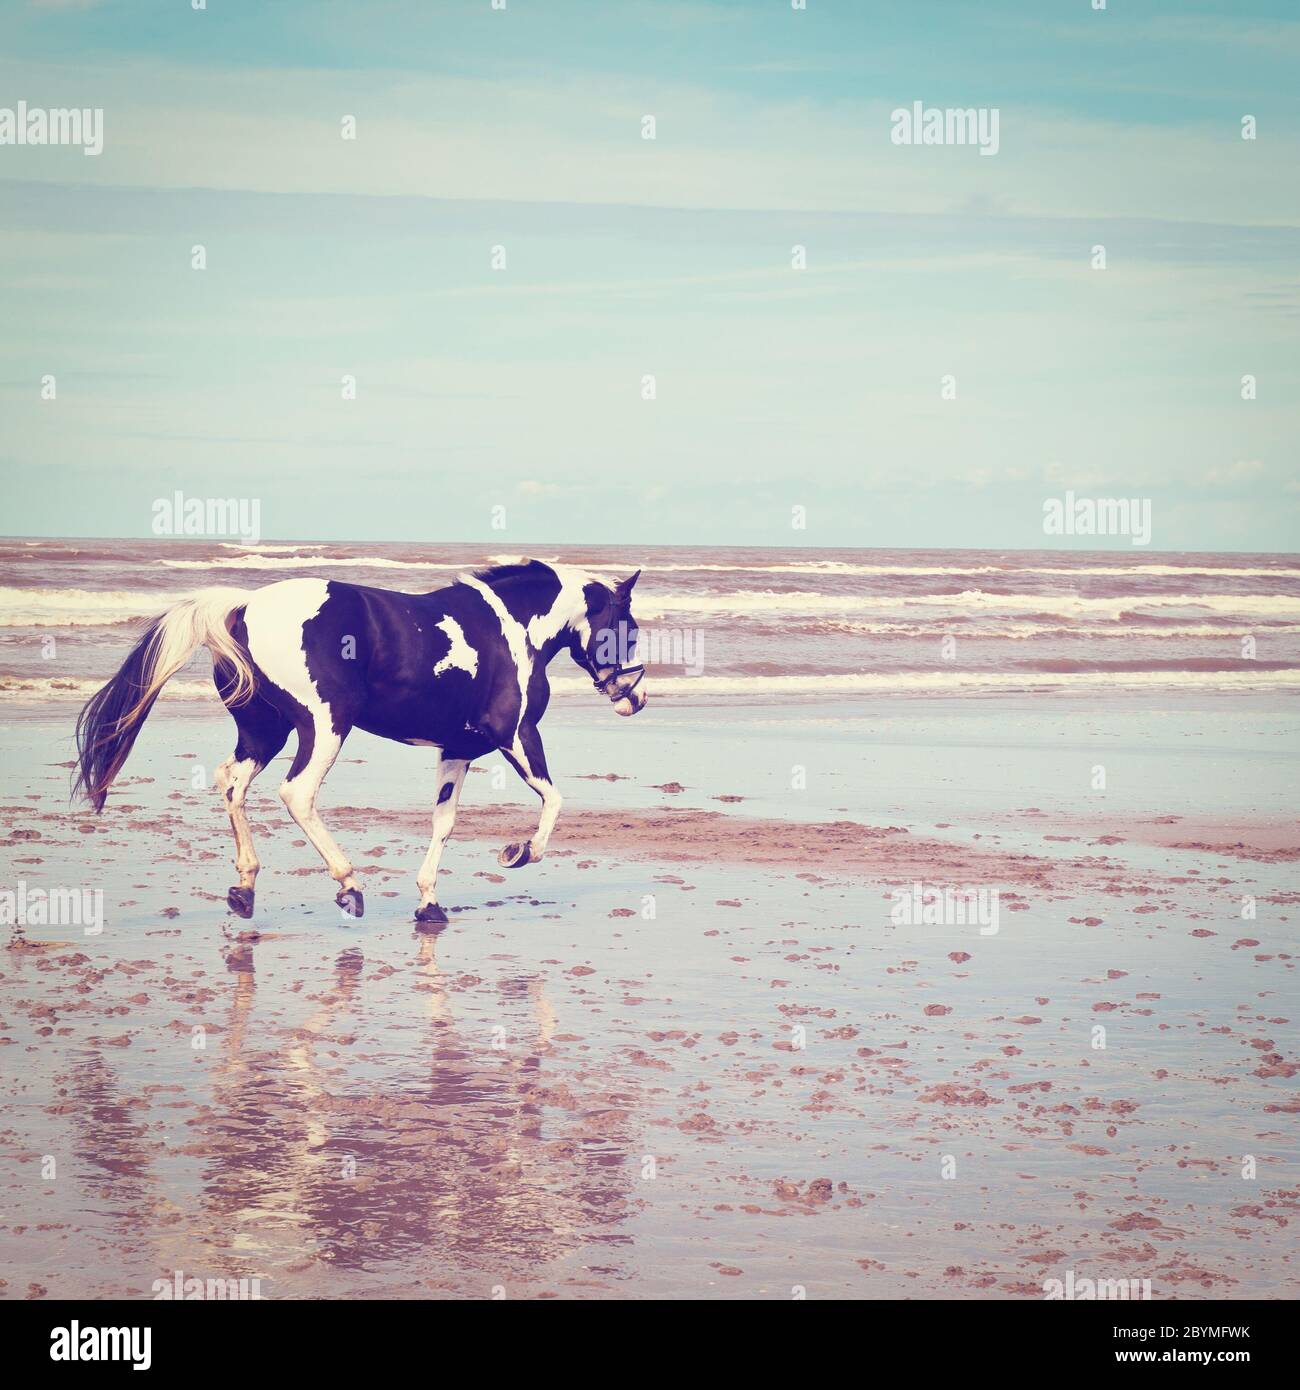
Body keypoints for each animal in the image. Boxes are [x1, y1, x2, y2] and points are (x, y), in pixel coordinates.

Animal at [73, 561, 647, 925]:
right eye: (630, 629)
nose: (635, 698)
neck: (512, 630)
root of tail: (244, 607)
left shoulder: (457, 750)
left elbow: (443, 823)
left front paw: (429, 904)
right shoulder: (518, 736)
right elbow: (554, 800)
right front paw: (518, 852)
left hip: (264, 732)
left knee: (231, 784)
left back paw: (245, 888)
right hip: (323, 727)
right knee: (297, 793)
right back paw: (348, 885)